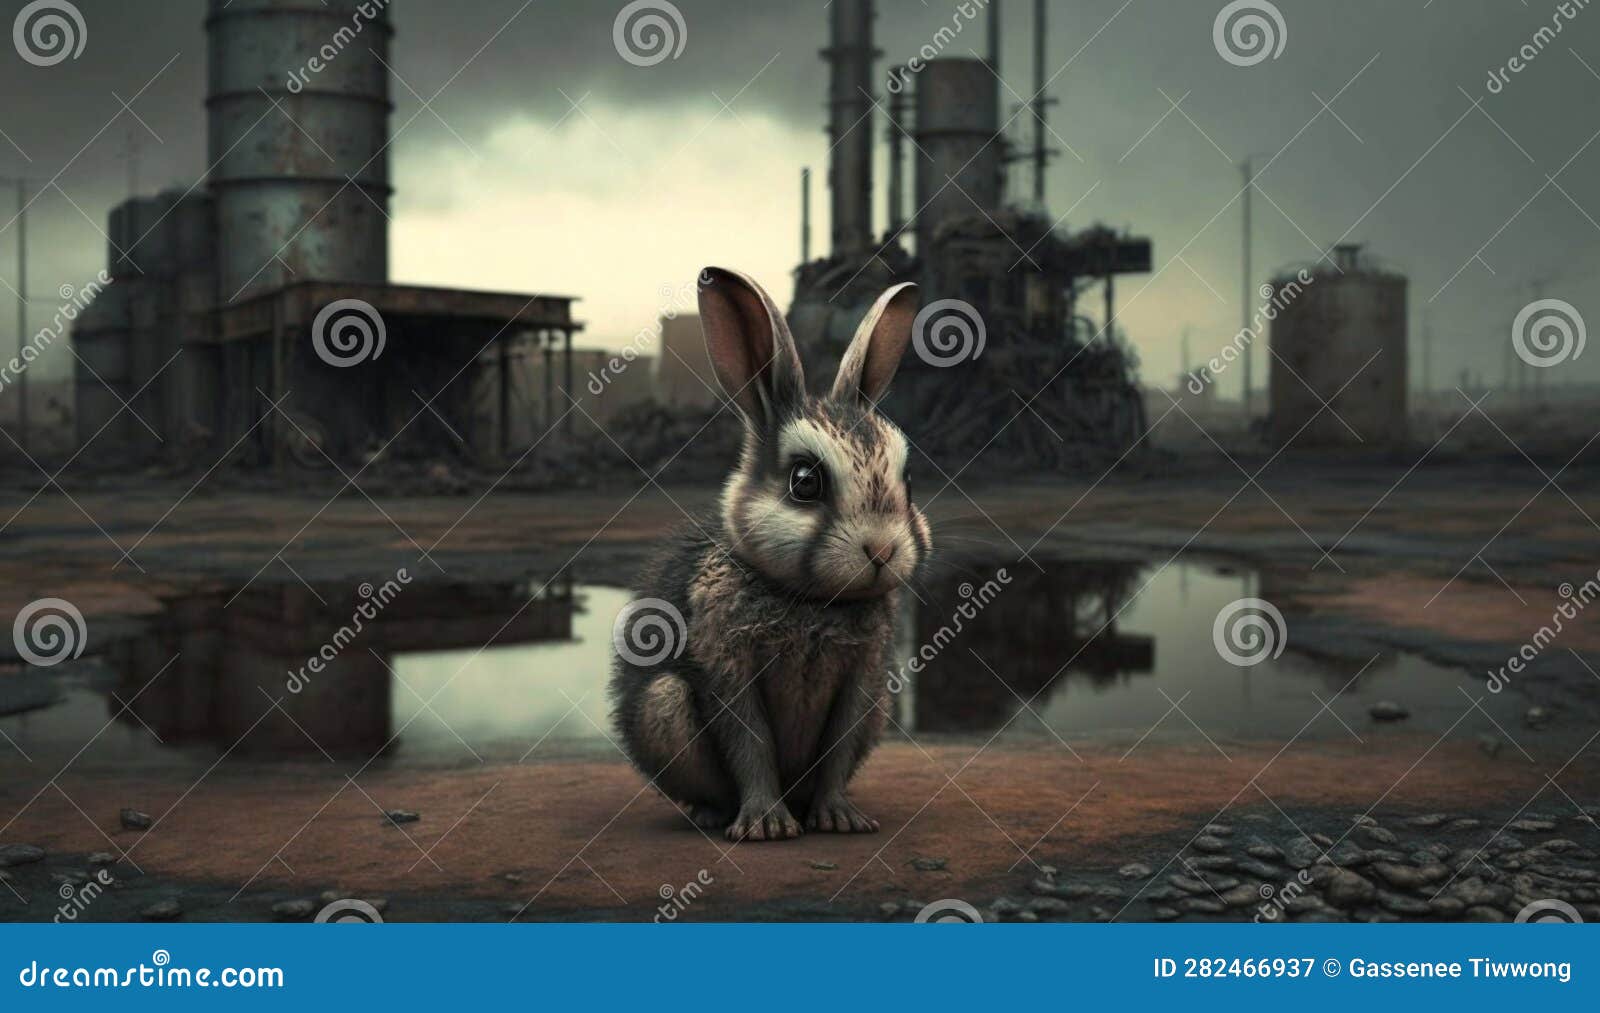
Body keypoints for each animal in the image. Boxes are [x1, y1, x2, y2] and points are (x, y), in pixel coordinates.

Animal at [609, 267, 931, 842]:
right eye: (804, 482)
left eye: (909, 481)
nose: (882, 549)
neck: (811, 600)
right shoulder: (729, 670)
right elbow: (750, 744)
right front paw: (766, 826)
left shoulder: (864, 679)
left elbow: (838, 747)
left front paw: (840, 818)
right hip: (664, 706)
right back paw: (717, 815)